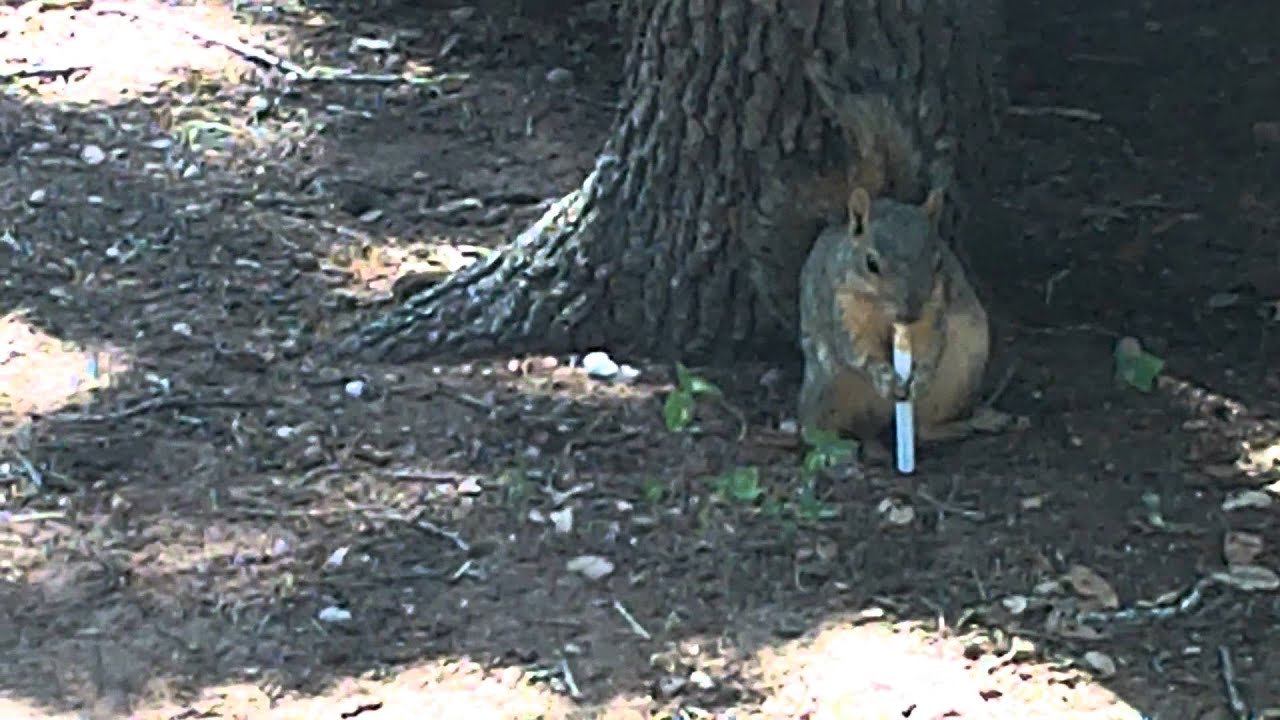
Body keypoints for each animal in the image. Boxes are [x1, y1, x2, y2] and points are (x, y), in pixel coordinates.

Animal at [795, 58, 1005, 459]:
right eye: (871, 264)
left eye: (939, 262)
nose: (908, 314)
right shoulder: (842, 307)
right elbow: (856, 349)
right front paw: (883, 374)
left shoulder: (935, 308)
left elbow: (932, 343)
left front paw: (919, 375)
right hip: (829, 390)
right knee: (827, 429)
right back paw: (850, 447)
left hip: (958, 375)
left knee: (922, 429)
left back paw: (968, 424)